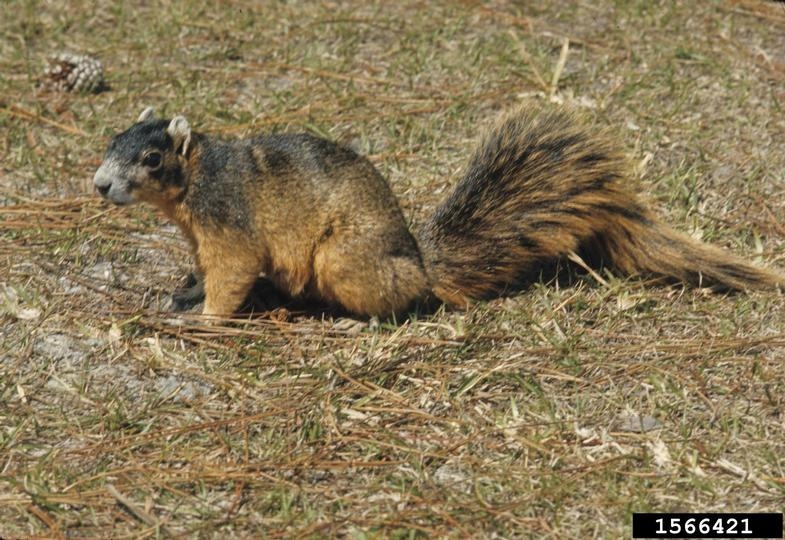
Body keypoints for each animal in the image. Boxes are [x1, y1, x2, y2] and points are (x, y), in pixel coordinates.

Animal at [93, 105, 783, 319]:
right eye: (111, 138)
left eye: (151, 157)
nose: (101, 185)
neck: (193, 181)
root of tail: (423, 265)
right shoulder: (198, 235)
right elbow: (202, 270)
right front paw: (183, 293)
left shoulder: (228, 224)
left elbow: (233, 273)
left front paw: (205, 318)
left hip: (346, 259)